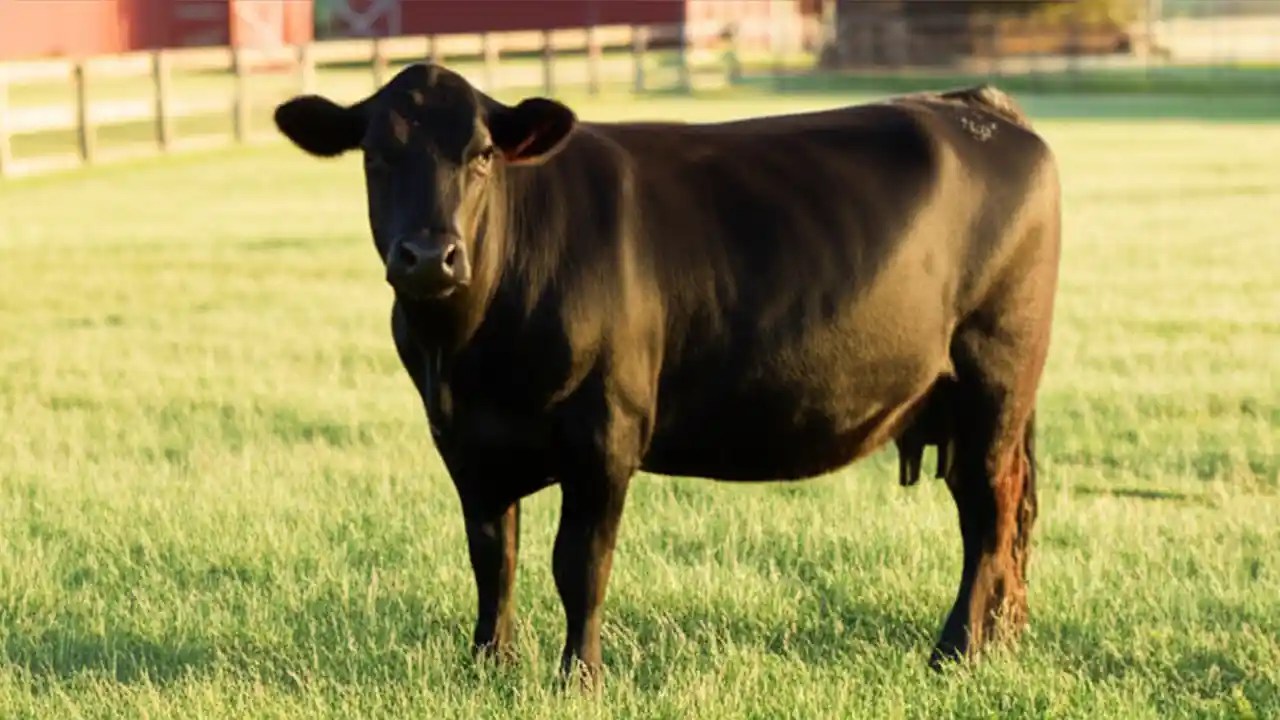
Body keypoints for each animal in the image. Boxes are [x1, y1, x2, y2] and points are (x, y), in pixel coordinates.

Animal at [272, 63, 1061, 687]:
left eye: (483, 155)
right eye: (376, 155)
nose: (430, 256)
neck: (466, 352)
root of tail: (975, 104)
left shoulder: (605, 435)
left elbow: (579, 565)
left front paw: (578, 679)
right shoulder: (467, 446)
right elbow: (493, 558)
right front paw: (489, 666)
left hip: (993, 378)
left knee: (987, 517)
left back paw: (956, 652)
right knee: (1004, 514)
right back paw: (1001, 642)